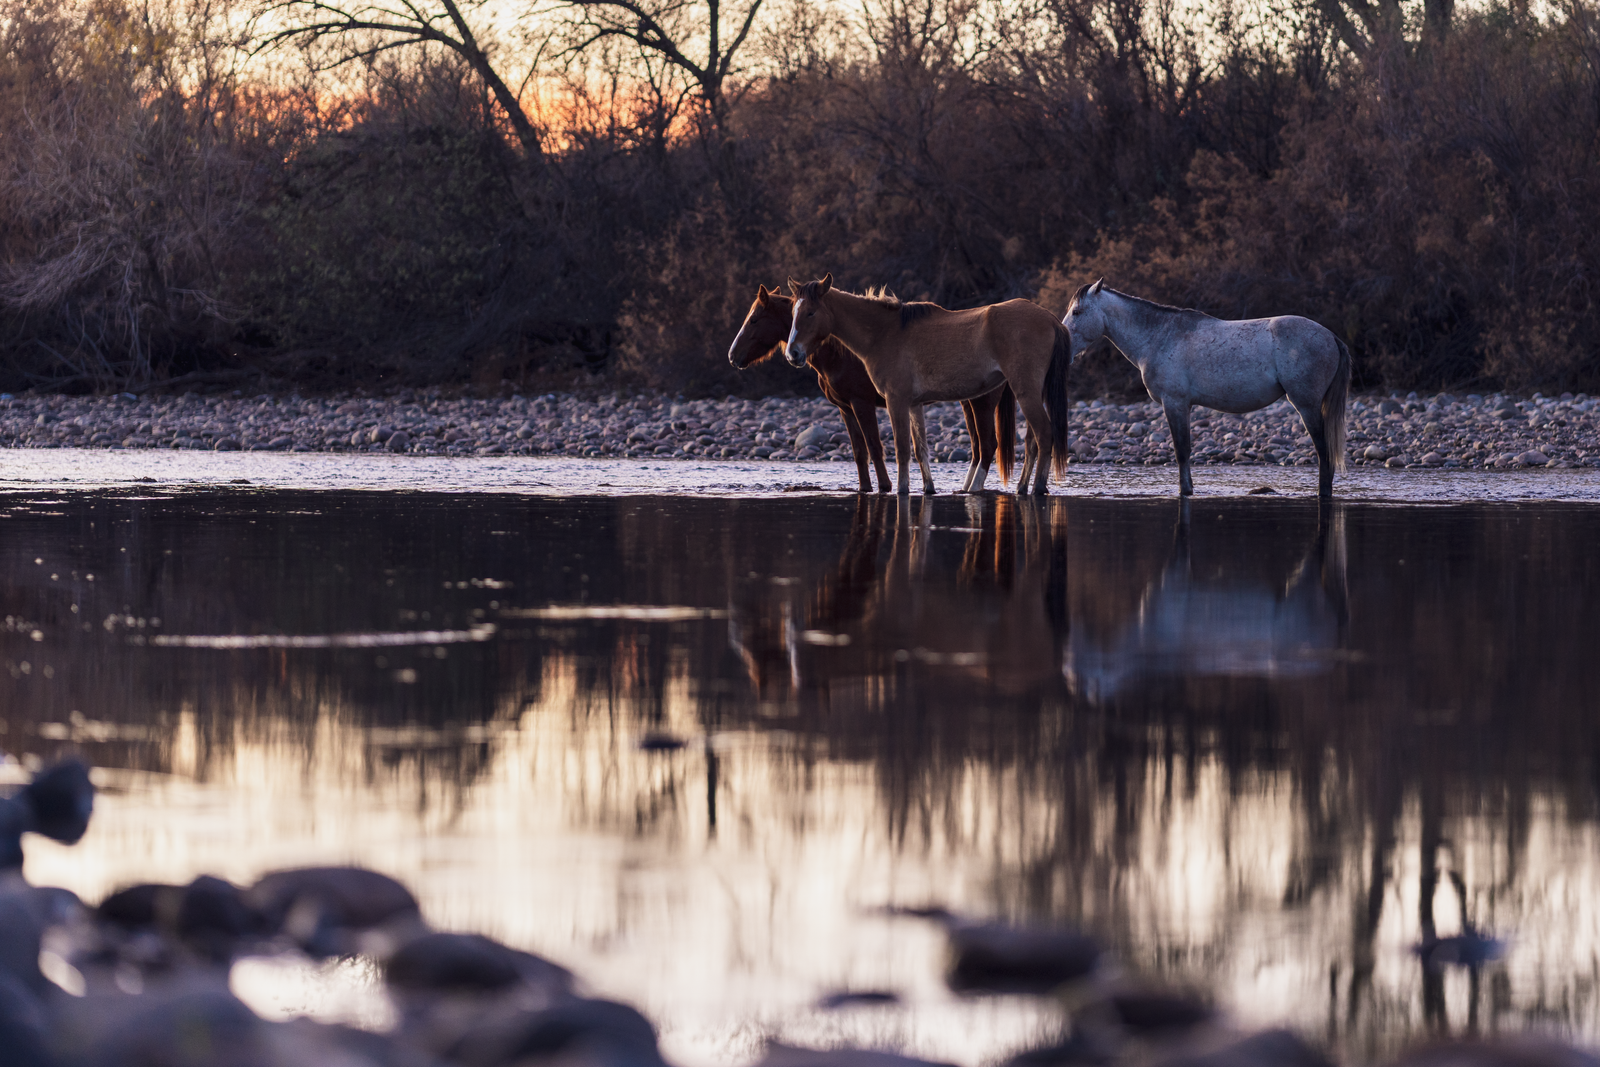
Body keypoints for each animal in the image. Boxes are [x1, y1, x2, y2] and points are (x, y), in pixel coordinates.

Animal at [729, 285, 1016, 494]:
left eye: (754, 320)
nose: (732, 356)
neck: (841, 354)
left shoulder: (863, 404)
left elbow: (875, 446)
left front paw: (886, 486)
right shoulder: (845, 408)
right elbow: (859, 451)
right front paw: (866, 487)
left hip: (981, 403)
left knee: (986, 445)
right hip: (968, 403)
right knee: (978, 447)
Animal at [784, 275, 1070, 496]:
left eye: (810, 312)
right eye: (792, 312)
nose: (792, 354)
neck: (884, 333)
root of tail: (1050, 318)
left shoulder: (895, 401)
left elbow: (901, 449)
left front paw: (901, 490)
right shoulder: (914, 405)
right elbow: (920, 449)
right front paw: (928, 488)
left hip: (1019, 394)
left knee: (1040, 434)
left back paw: (1030, 488)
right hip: (1030, 394)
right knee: (1031, 440)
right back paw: (1021, 487)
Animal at [1063, 280, 1351, 497]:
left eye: (1077, 312)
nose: (1064, 346)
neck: (1159, 336)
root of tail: (1331, 336)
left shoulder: (1175, 403)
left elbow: (1181, 451)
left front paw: (1185, 491)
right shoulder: (1185, 406)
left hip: (1306, 405)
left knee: (1323, 451)